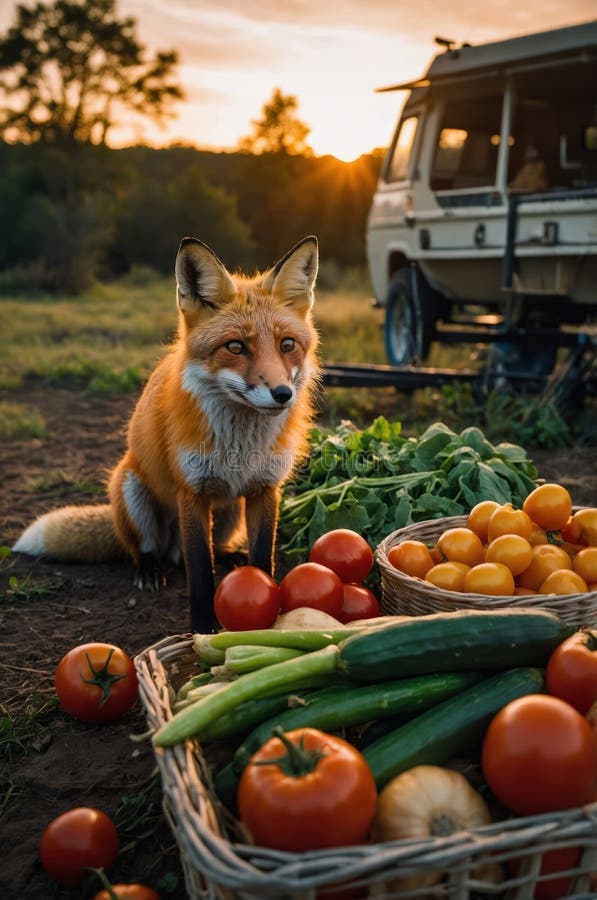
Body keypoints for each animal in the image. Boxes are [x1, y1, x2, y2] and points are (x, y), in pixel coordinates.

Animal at [13, 235, 320, 632]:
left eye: (287, 345)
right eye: (235, 347)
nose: (283, 394)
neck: (239, 445)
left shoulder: (265, 489)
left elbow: (262, 561)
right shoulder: (191, 492)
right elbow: (200, 572)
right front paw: (203, 629)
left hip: (230, 512)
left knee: (213, 550)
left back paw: (230, 557)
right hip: (133, 492)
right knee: (148, 551)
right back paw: (149, 570)